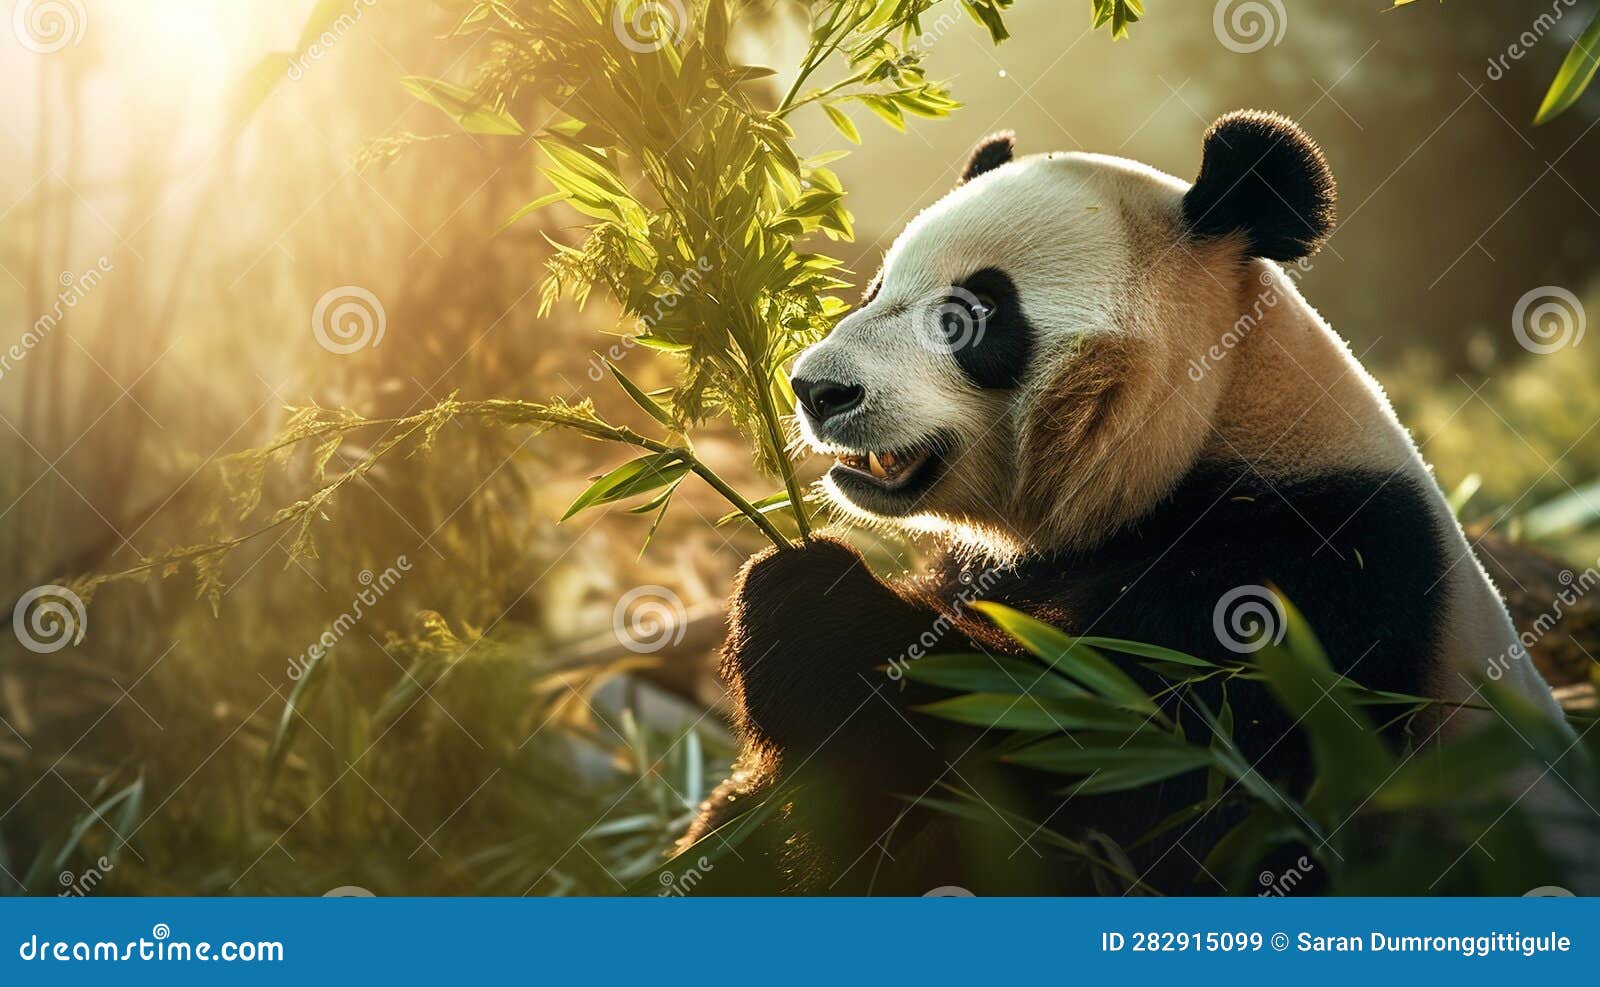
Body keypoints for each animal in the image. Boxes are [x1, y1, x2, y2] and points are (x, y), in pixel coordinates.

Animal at [676, 110, 1573, 895]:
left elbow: (1137, 796)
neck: (1219, 422)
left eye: (969, 315)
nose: (818, 389)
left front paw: (802, 598)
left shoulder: (1314, 584)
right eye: (874, 288)